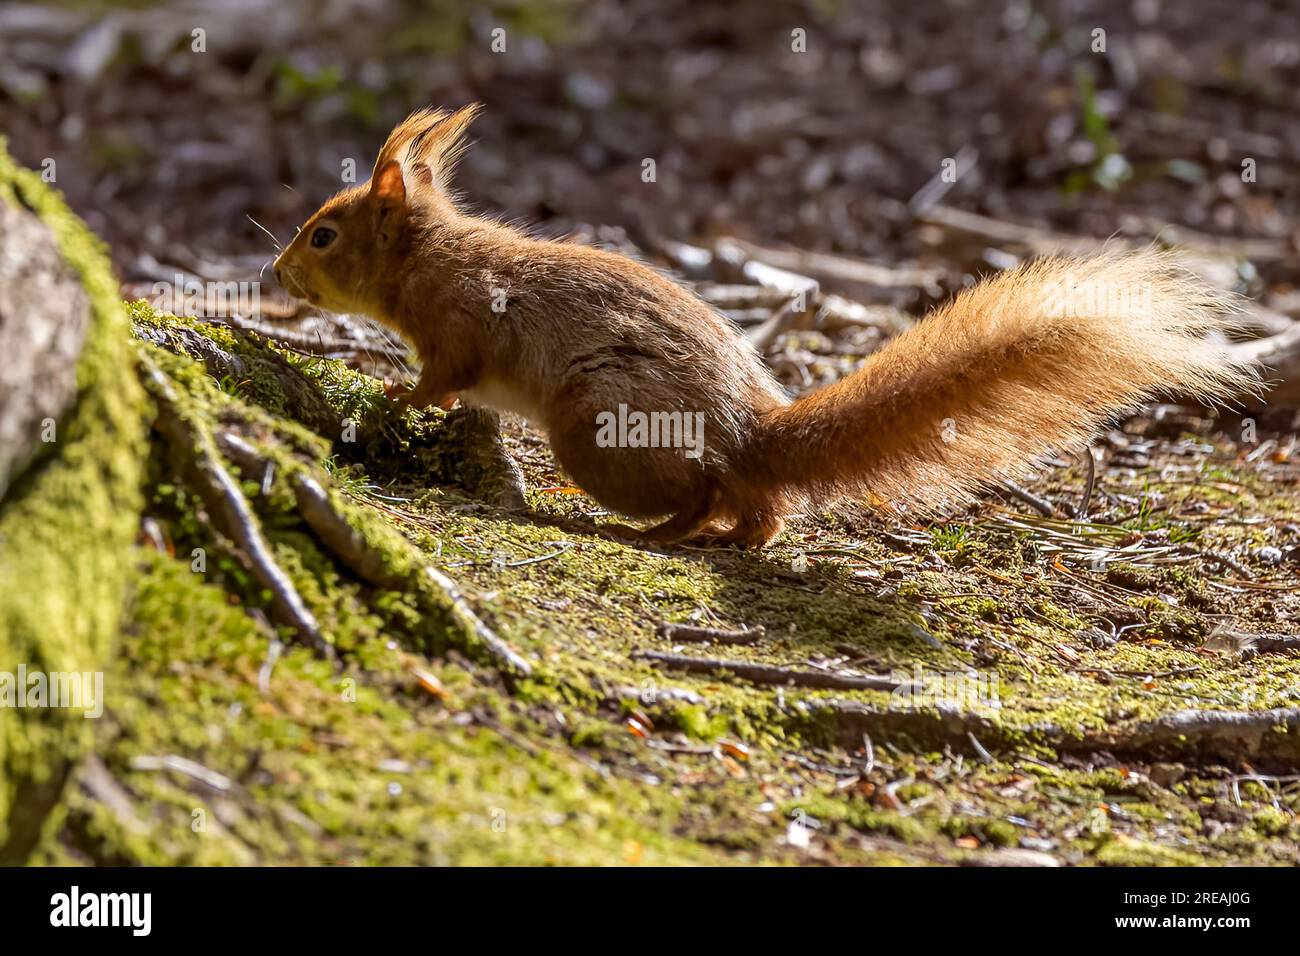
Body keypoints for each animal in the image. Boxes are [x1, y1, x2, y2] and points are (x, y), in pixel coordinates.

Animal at [273, 105, 1259, 549]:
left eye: (323, 232)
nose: (275, 273)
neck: (427, 258)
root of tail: (750, 428)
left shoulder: (463, 325)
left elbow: (440, 376)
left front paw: (394, 394)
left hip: (599, 430)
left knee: (710, 488)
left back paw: (668, 530)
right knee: (763, 509)